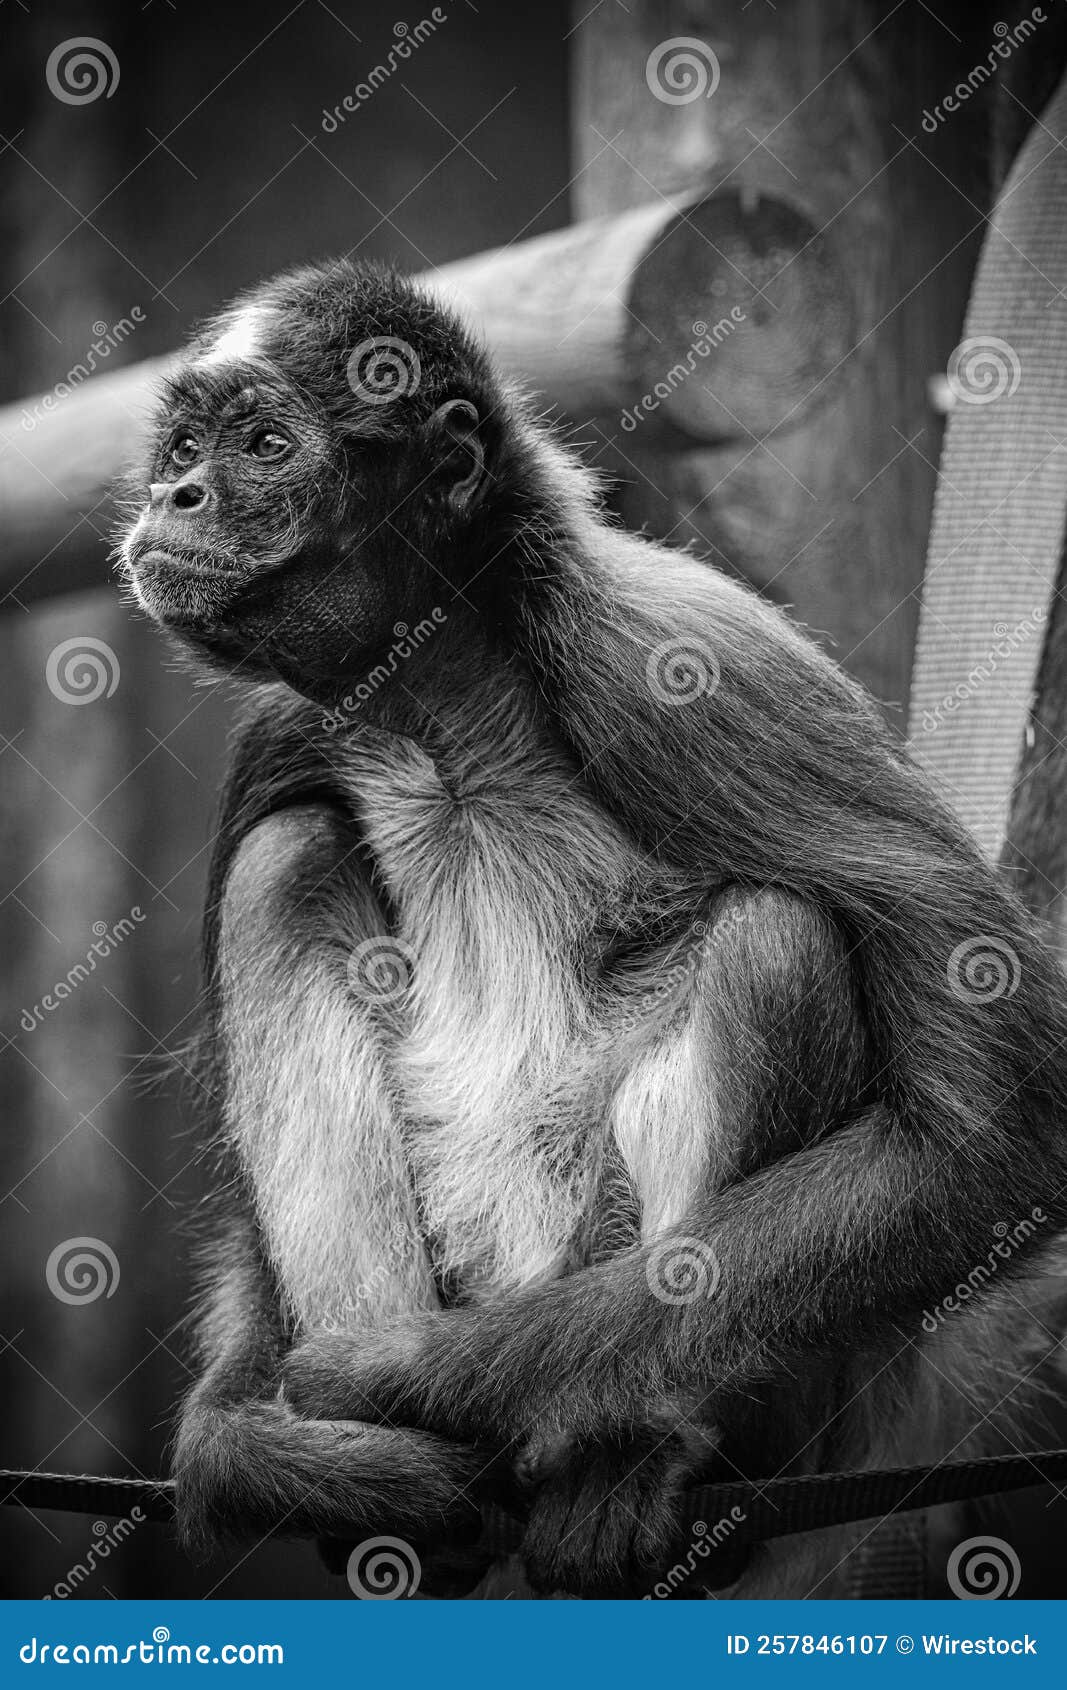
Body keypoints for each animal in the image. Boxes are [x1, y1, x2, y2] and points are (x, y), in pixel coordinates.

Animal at [117, 258, 1067, 1599]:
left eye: (261, 445)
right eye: (186, 448)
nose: (176, 495)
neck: (443, 724)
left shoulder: (673, 665)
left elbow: (1000, 1136)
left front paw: (407, 1374)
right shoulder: (285, 732)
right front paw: (263, 1450)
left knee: (777, 933)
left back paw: (628, 1458)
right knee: (283, 859)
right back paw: (396, 1505)